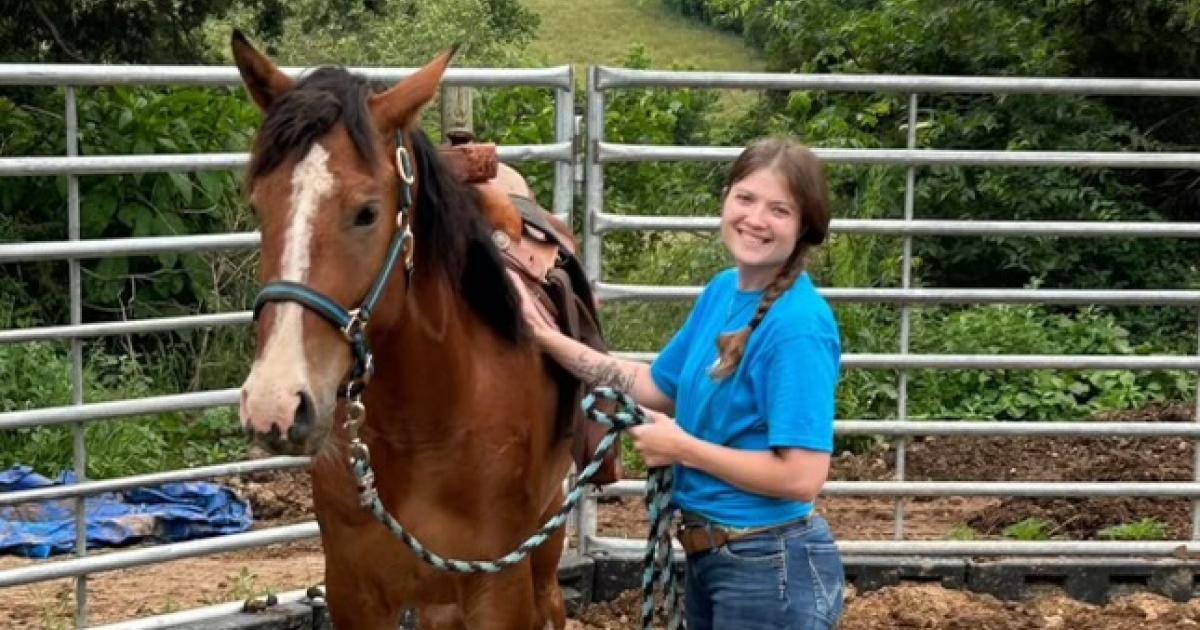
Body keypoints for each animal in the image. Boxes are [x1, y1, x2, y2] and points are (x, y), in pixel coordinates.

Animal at [232, 31, 576, 629]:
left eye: (367, 212)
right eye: (259, 206)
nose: (274, 405)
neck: (424, 427)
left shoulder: (497, 590)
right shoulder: (353, 593)